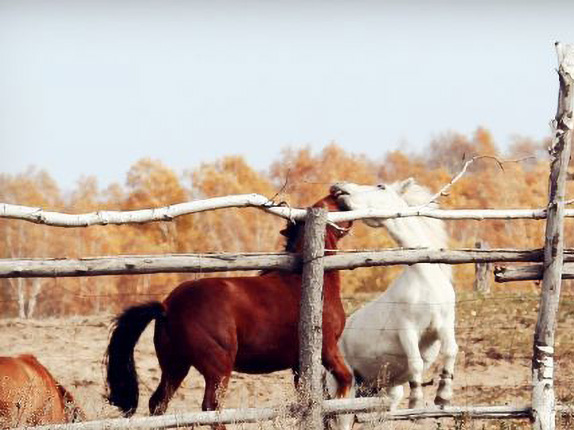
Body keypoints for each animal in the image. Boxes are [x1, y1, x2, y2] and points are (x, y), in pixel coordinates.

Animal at [106, 196, 354, 426]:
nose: (339, 194)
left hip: (175, 366)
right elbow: (345, 382)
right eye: (328, 205)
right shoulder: (328, 349)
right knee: (211, 407)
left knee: (158, 403)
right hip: (217, 368)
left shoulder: (299, 364)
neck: (307, 281)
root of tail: (167, 307)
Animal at [328, 176, 460, 428]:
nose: (337, 187)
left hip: (380, 393)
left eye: (380, 186)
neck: (425, 278)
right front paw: (416, 403)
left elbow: (451, 351)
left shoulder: (444, 326)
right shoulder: (407, 331)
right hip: (345, 392)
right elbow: (416, 363)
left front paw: (443, 396)